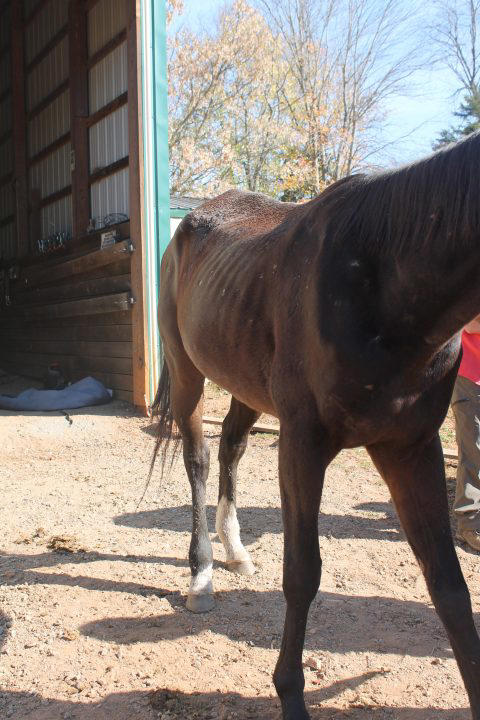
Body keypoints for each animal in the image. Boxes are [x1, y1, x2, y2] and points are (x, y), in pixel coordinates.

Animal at [152, 129, 480, 719]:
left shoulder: (410, 448)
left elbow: (448, 585)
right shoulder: (303, 445)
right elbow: (302, 573)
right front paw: (289, 693)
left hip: (246, 385)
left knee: (232, 447)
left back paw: (235, 551)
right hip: (189, 374)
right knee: (200, 460)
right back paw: (202, 575)